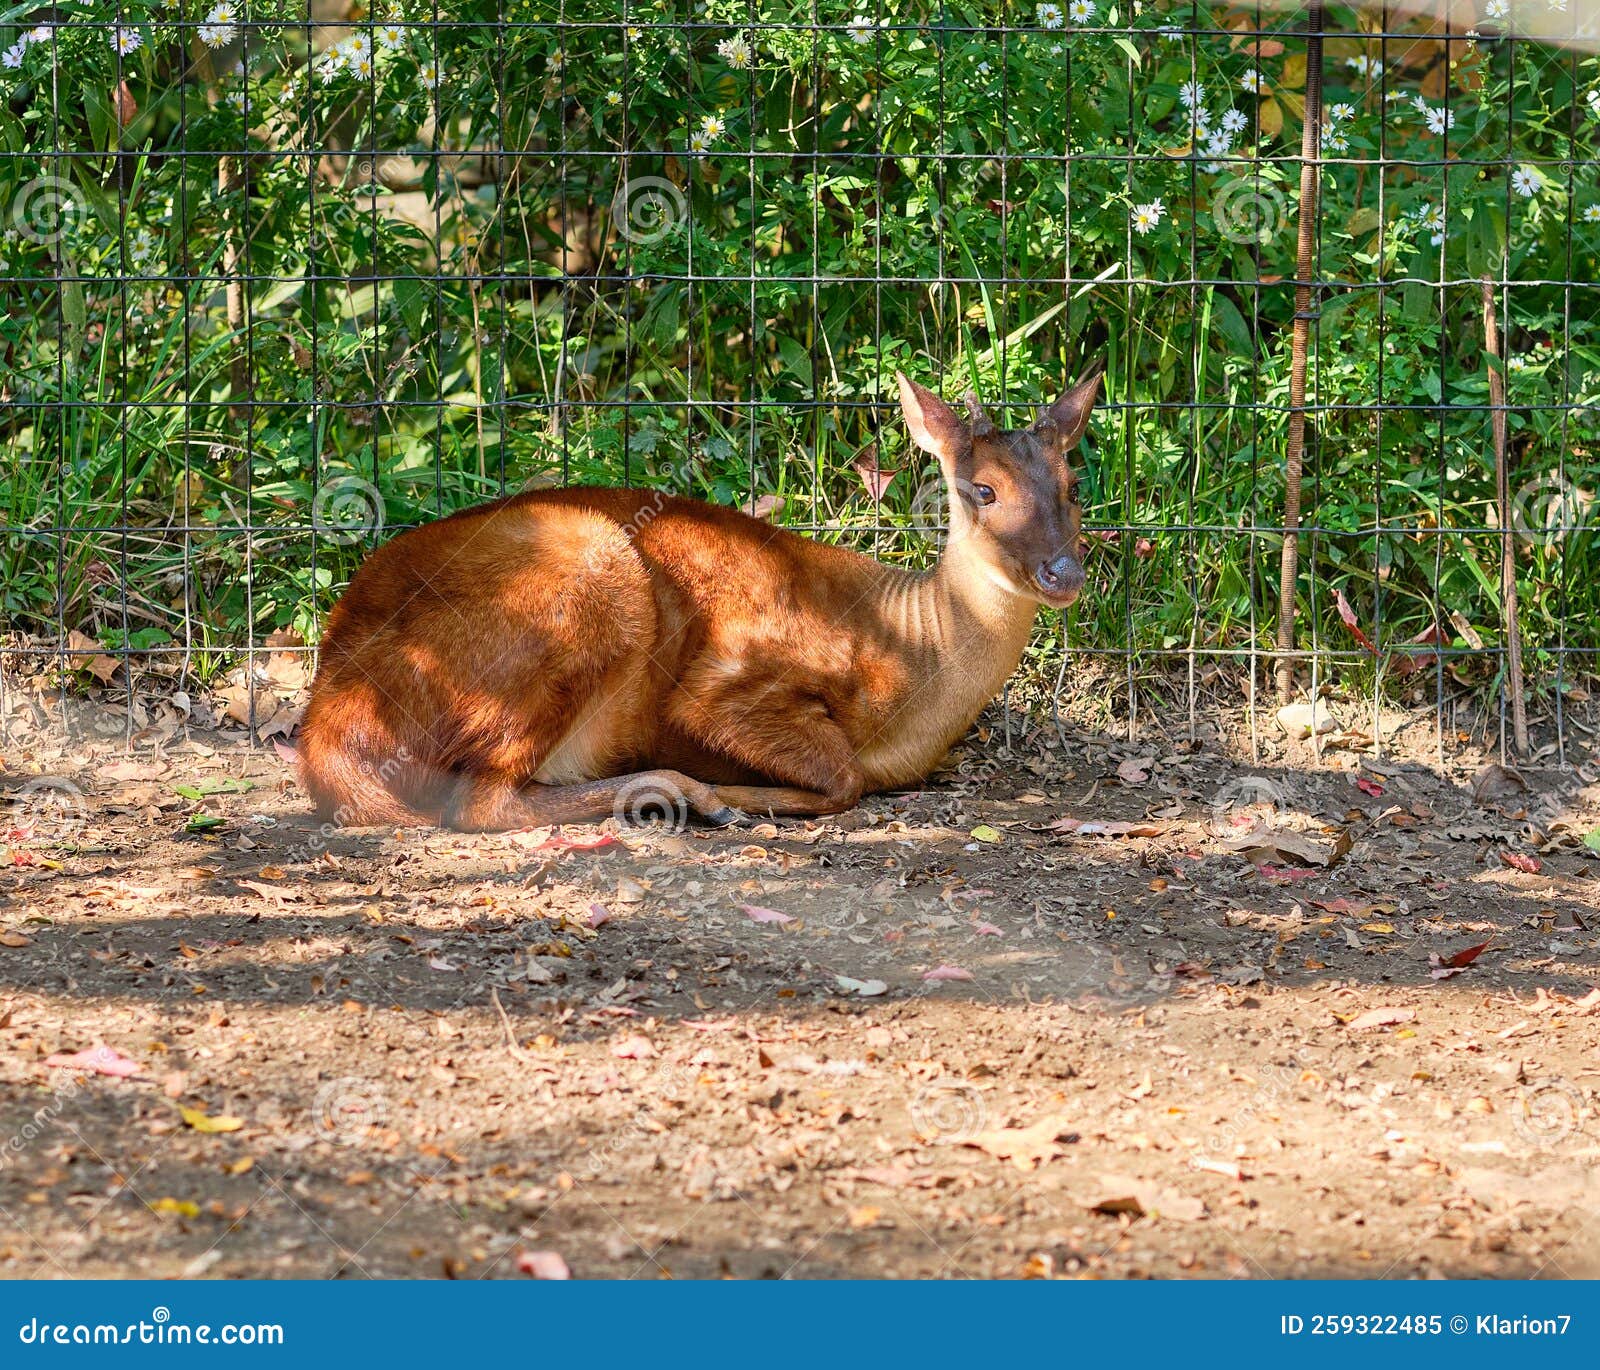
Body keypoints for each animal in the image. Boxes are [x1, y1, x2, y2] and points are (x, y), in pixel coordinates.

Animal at [297, 365, 1102, 832]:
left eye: (1071, 487)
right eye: (983, 490)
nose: (1063, 572)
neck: (913, 658)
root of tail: (329, 717)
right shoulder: (730, 681)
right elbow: (840, 778)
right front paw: (743, 794)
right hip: (595, 580)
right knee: (480, 802)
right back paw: (686, 795)